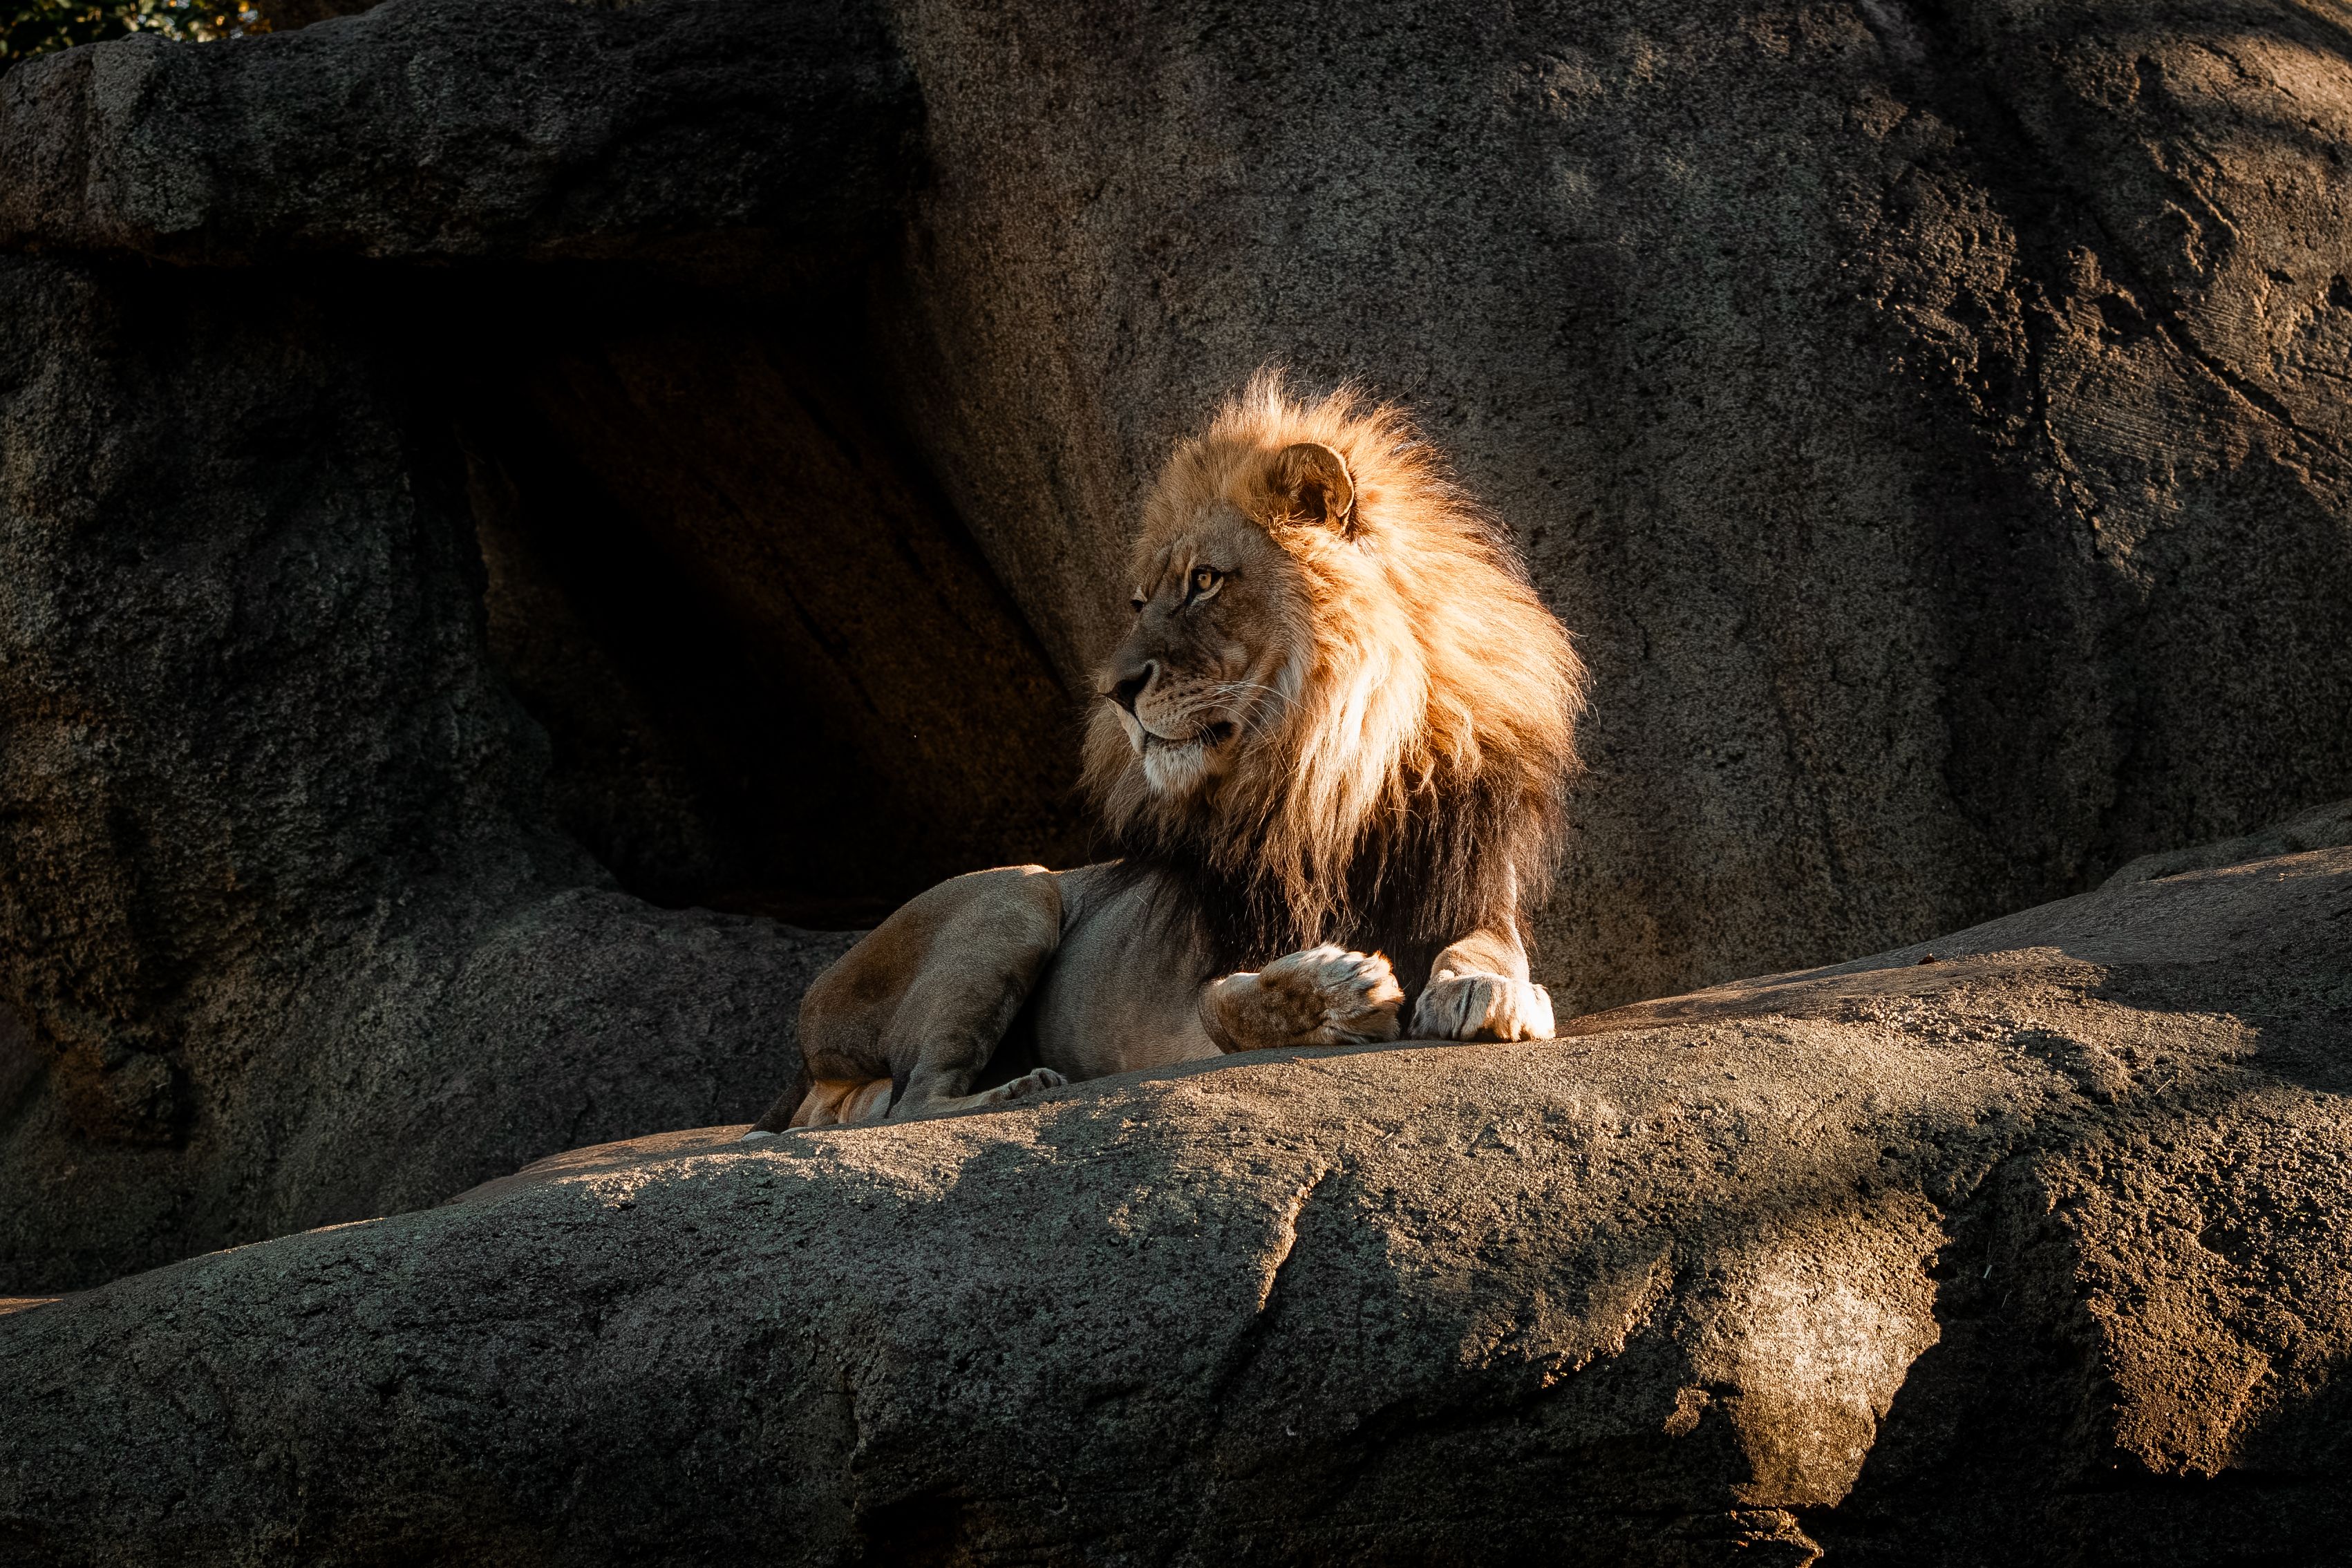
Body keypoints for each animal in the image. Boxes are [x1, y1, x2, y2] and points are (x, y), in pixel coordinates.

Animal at [741, 372, 1586, 1135]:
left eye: (1204, 580)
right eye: (1140, 602)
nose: (1114, 691)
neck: (1330, 774)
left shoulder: (1471, 889)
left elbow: (1489, 947)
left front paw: (1479, 990)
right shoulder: (1178, 1012)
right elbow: (1223, 1001)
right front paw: (1328, 994)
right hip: (1015, 895)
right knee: (909, 1101)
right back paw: (1016, 1088)